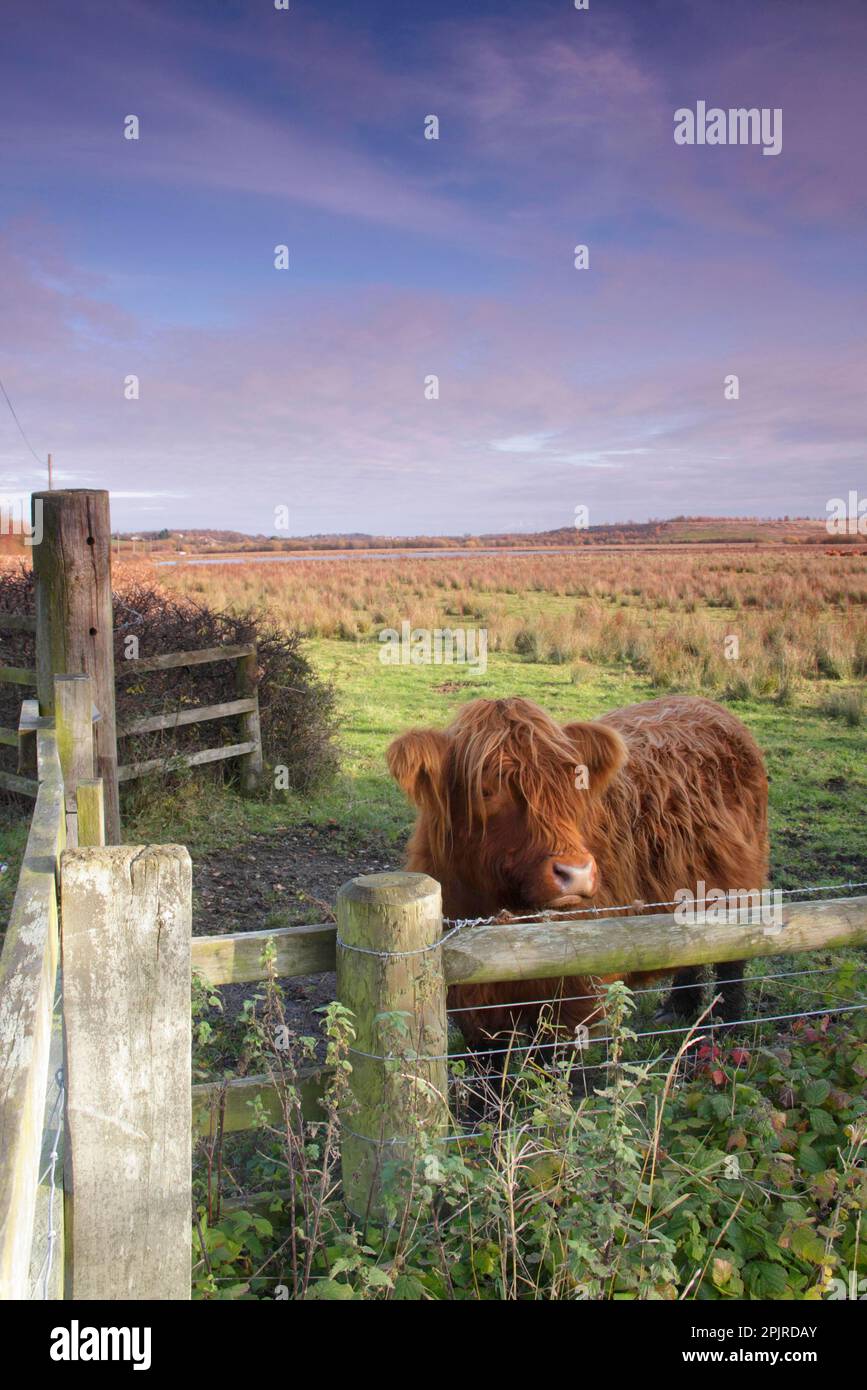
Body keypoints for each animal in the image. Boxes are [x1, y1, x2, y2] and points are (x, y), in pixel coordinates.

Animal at [387, 695, 768, 1049]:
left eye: (574, 787)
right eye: (486, 790)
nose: (576, 872)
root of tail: (708, 705)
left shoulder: (578, 991)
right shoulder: (475, 1007)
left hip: (739, 891)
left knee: (731, 960)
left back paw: (726, 1026)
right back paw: (678, 1009)